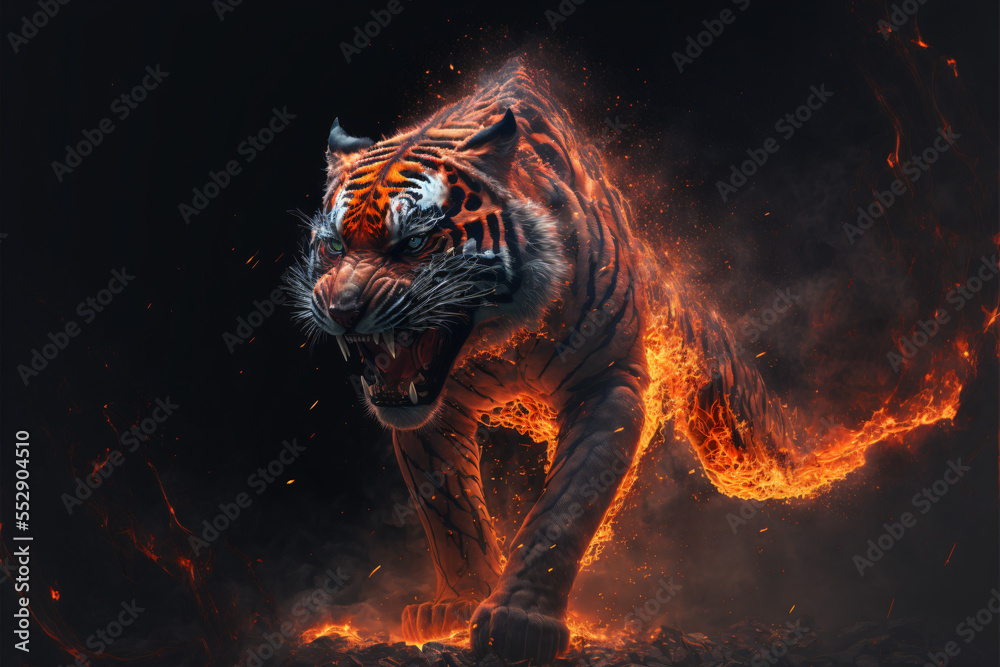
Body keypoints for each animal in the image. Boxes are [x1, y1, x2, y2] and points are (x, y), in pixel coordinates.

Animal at [287, 59, 802, 664]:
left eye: (413, 244)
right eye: (333, 247)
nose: (342, 310)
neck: (504, 334)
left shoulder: (608, 384)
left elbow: (563, 509)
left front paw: (520, 620)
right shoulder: (432, 415)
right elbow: (451, 513)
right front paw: (457, 607)